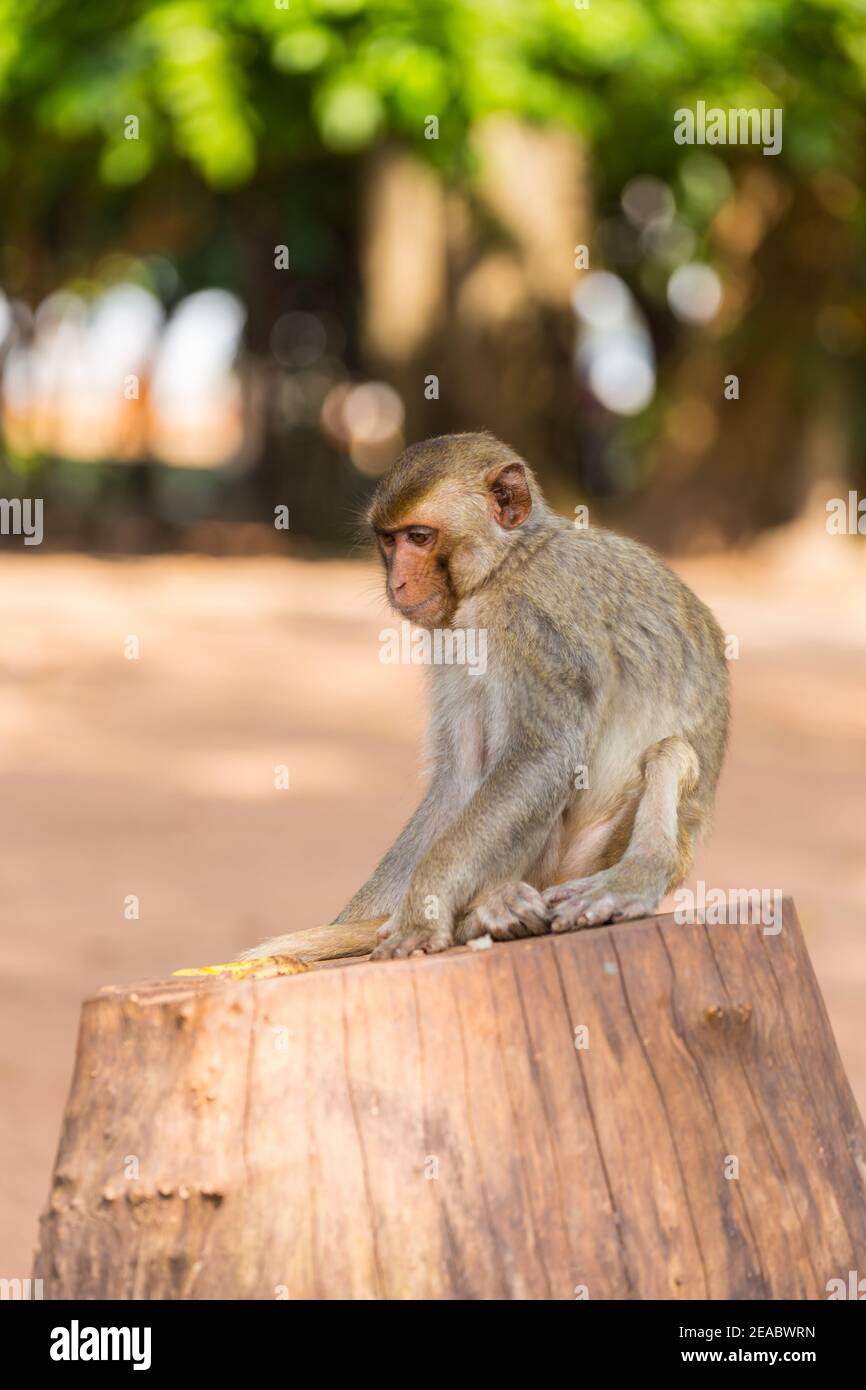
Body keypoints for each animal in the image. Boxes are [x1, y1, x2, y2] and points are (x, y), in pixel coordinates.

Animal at [242, 431, 729, 965]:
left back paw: (624, 881)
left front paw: (420, 918)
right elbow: (461, 777)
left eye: (419, 537)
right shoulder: (454, 633)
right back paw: (489, 909)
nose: (397, 582)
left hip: (590, 858)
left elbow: (543, 756)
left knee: (669, 753)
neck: (507, 564)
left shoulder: (530, 619)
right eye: (389, 540)